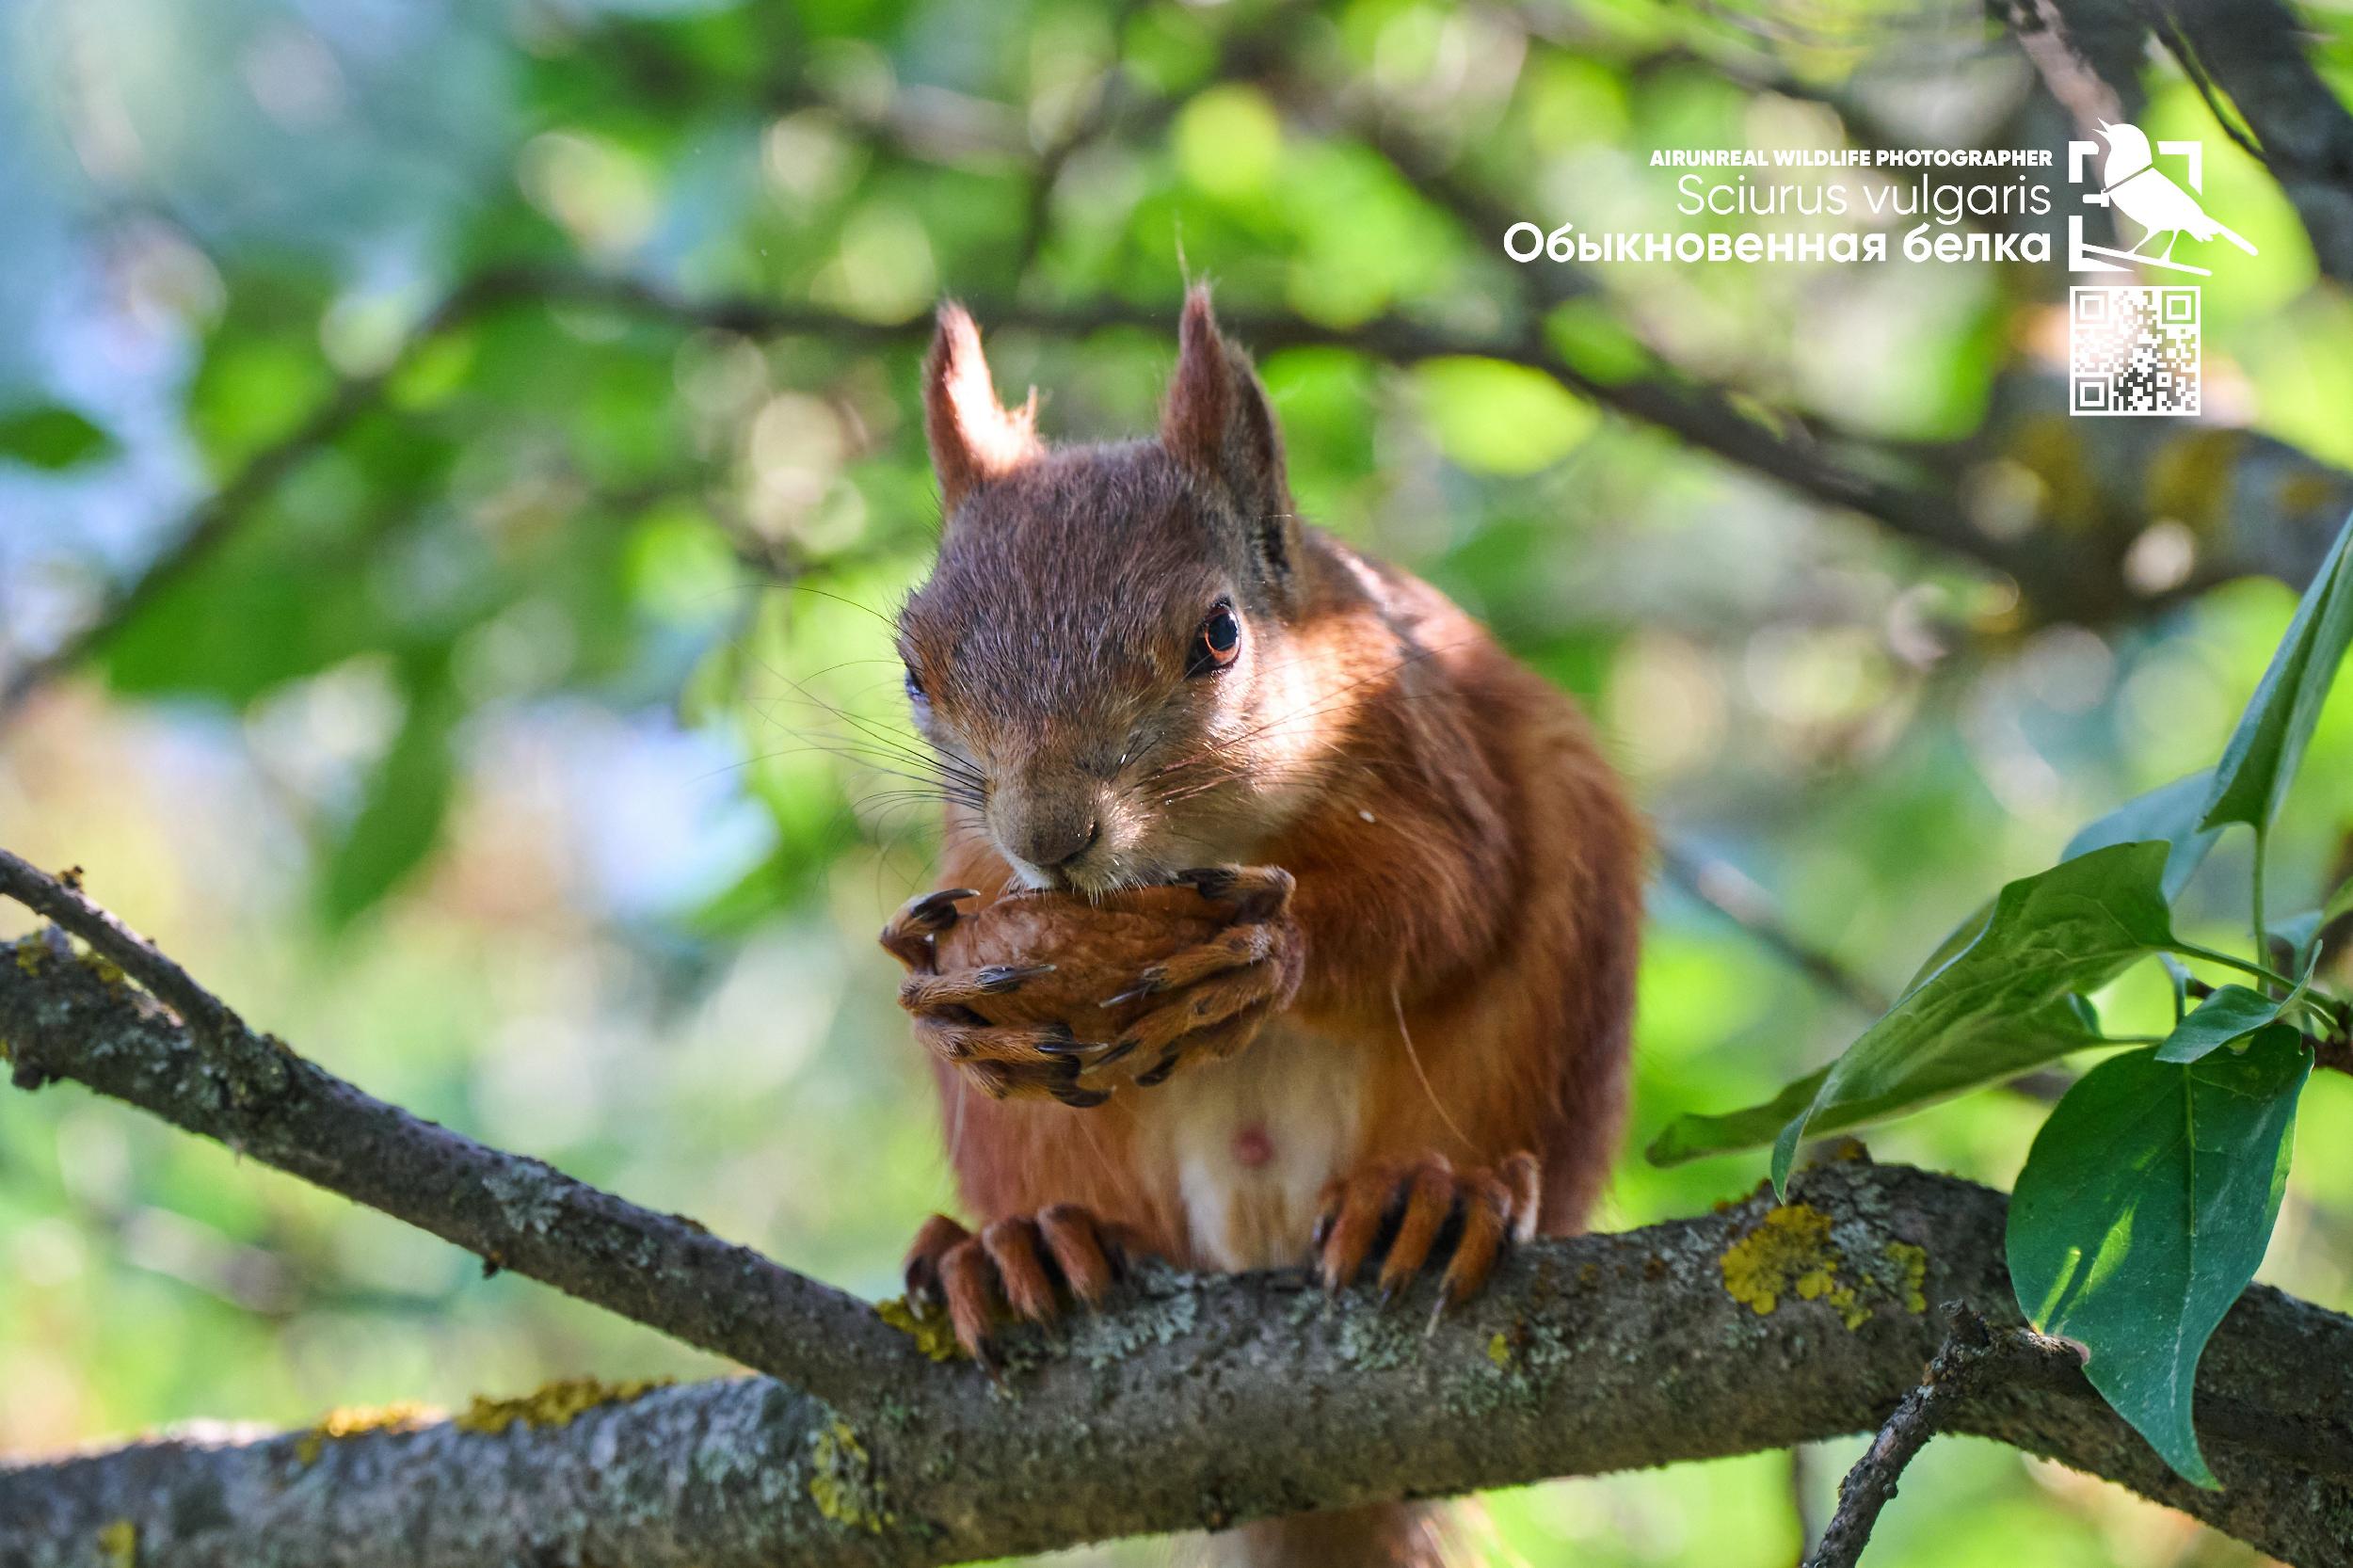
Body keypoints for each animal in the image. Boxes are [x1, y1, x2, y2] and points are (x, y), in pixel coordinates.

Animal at [878, 288, 1643, 1568]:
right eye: (912, 673)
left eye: (1220, 636)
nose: (1050, 833)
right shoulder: (976, 864)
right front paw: (945, 1007)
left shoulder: (1423, 755)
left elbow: (1444, 901)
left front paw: (1266, 960)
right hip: (1046, 1148)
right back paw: (1024, 1243)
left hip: (1542, 1010)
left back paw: (1433, 1196)